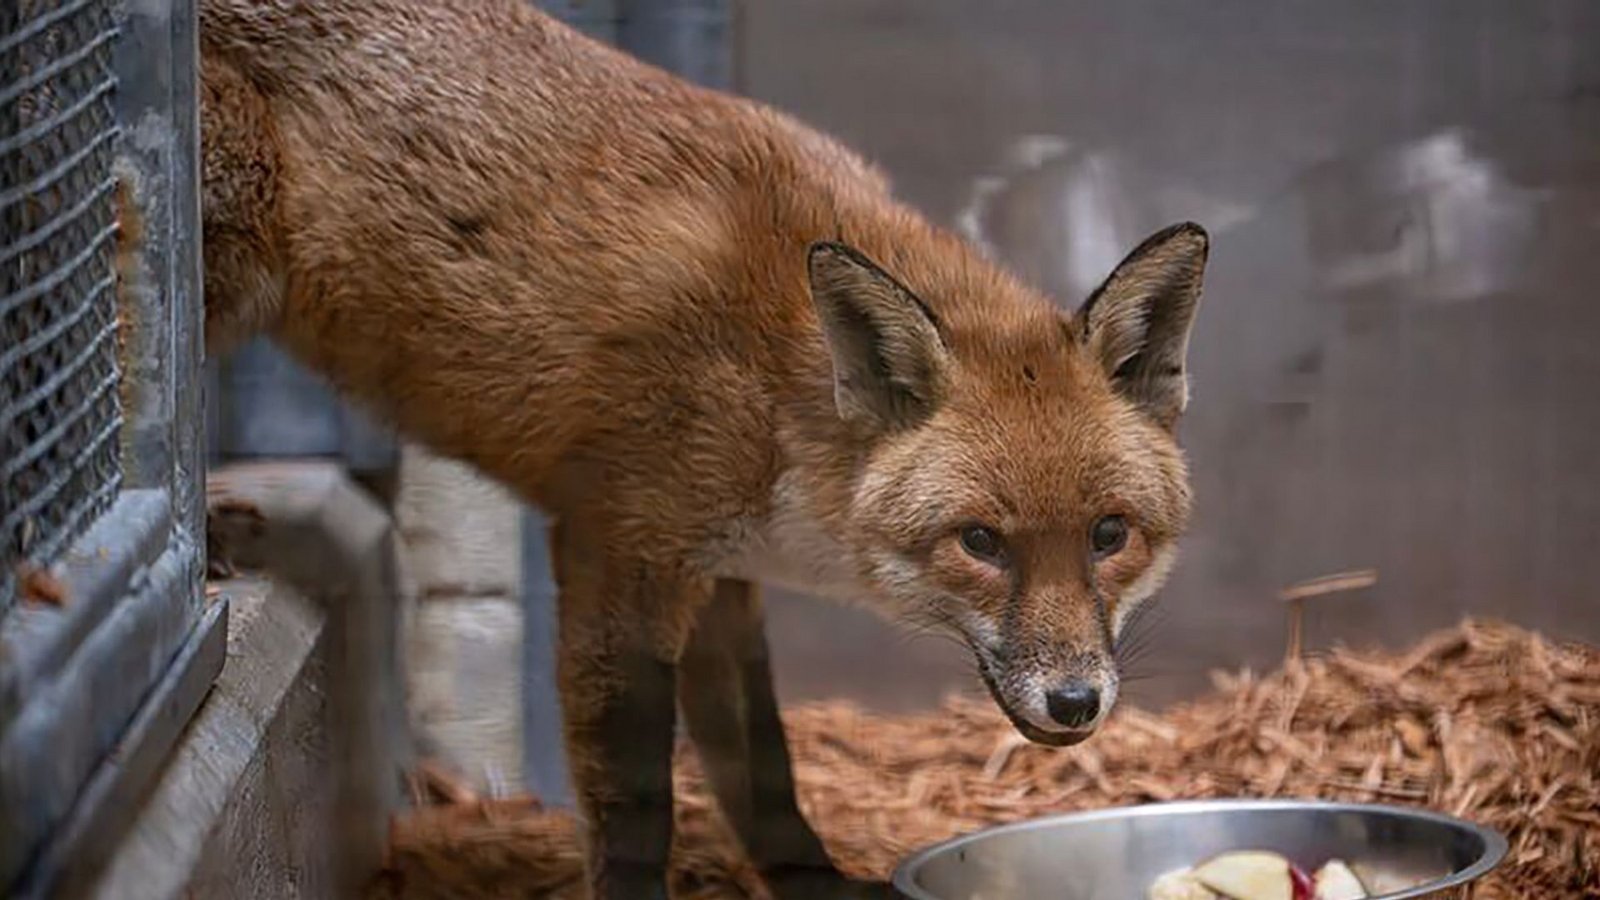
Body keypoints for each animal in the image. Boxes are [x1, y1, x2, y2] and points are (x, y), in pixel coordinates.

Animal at [196, 0, 1209, 897]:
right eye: (981, 543)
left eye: (1110, 536)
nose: (1076, 702)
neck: (776, 390)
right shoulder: (618, 551)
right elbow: (638, 804)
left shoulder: (724, 577)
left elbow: (761, 771)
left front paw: (818, 886)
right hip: (229, 260)